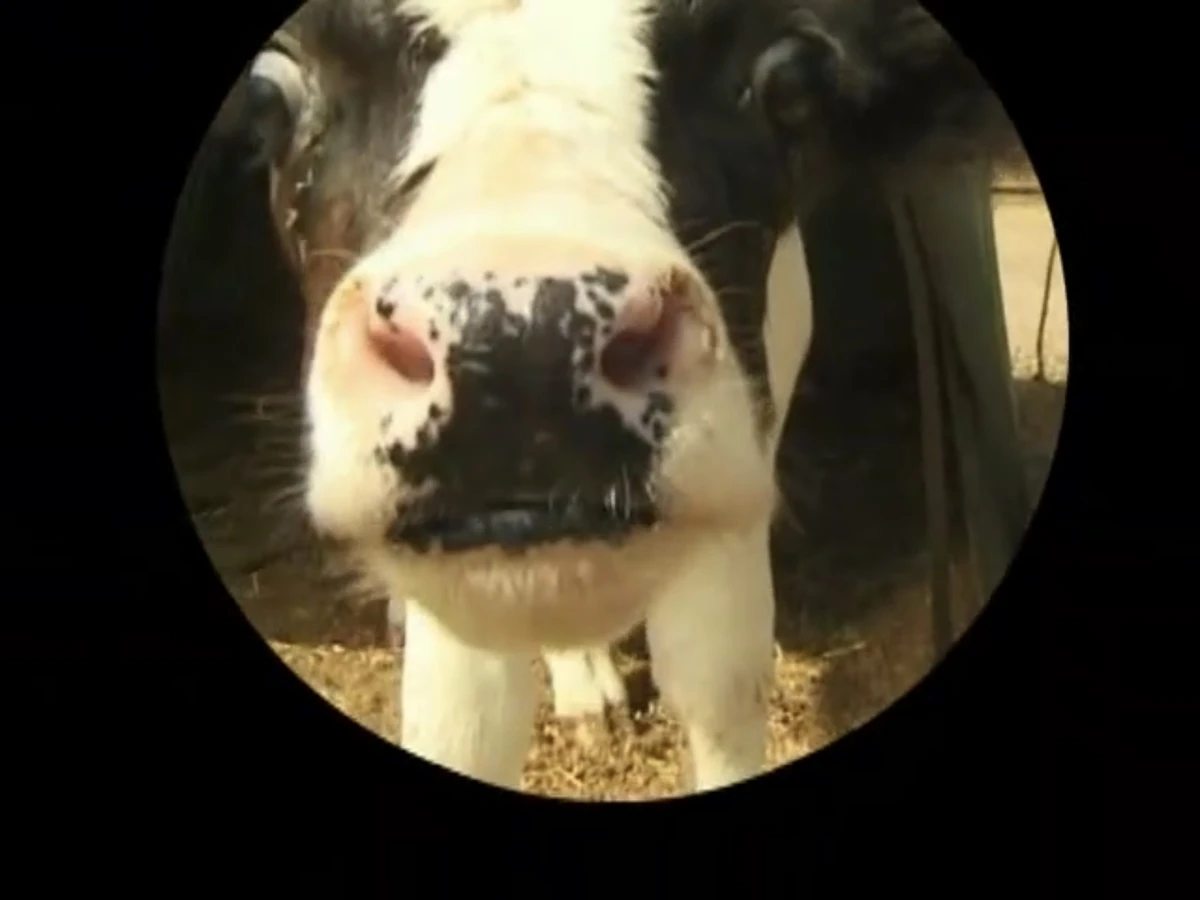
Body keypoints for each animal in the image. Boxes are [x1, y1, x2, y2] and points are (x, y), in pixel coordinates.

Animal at [199, 0, 1017, 793]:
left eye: (790, 79)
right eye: (269, 90)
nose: (521, 350)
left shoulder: (742, 459)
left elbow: (717, 676)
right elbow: (464, 718)